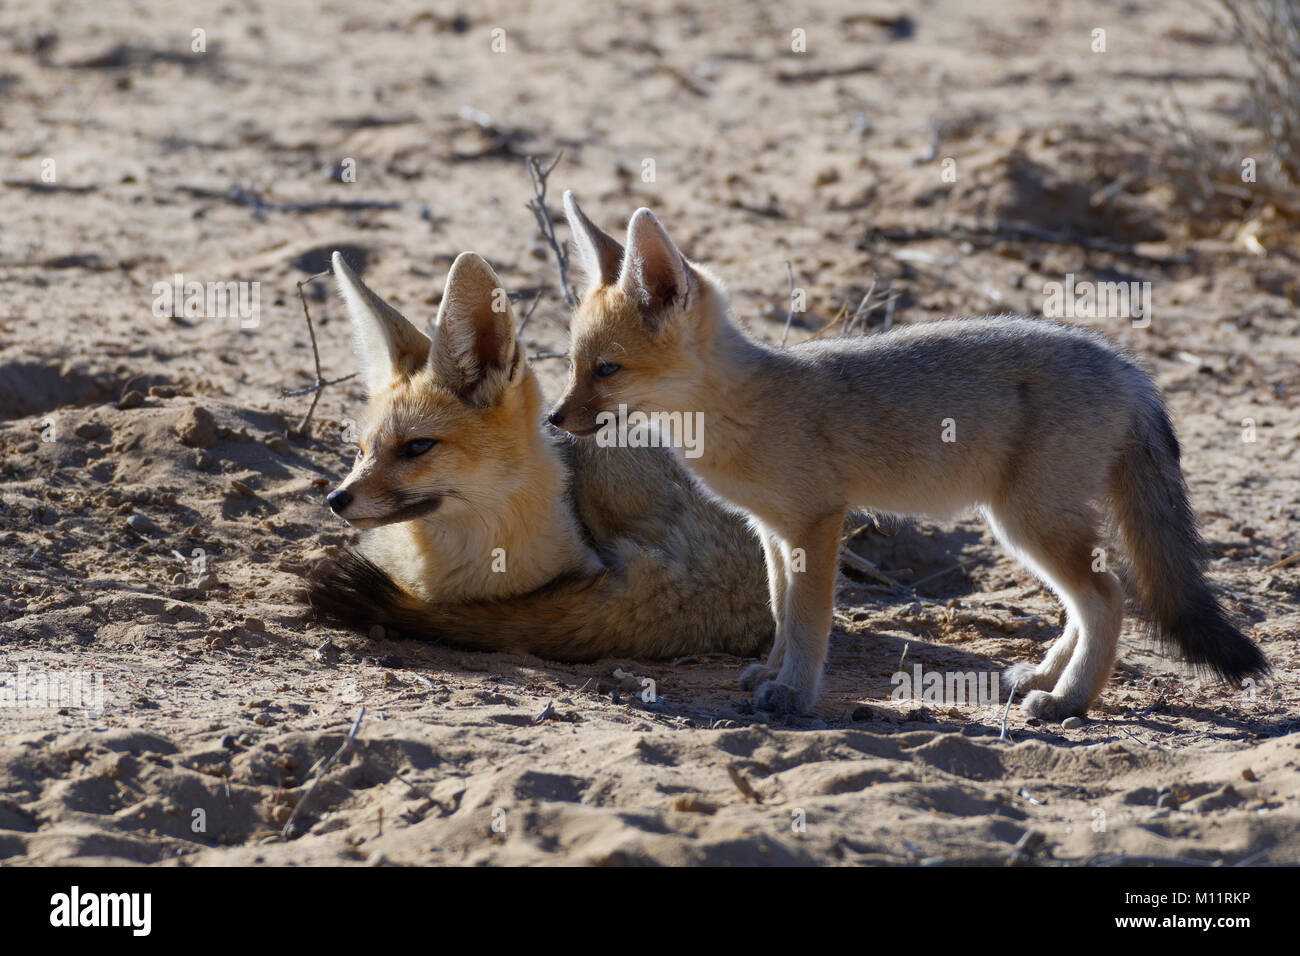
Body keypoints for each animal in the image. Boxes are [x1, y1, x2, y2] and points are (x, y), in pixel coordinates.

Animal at [547, 192, 1270, 720]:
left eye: (607, 370)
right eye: (574, 365)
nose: (554, 419)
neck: (741, 407)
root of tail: (1124, 364)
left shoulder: (817, 523)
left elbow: (809, 621)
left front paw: (794, 692)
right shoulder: (773, 533)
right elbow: (780, 610)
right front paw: (770, 671)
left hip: (1027, 523)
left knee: (1108, 597)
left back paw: (1068, 700)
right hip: (1028, 526)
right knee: (1092, 597)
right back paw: (1045, 674)